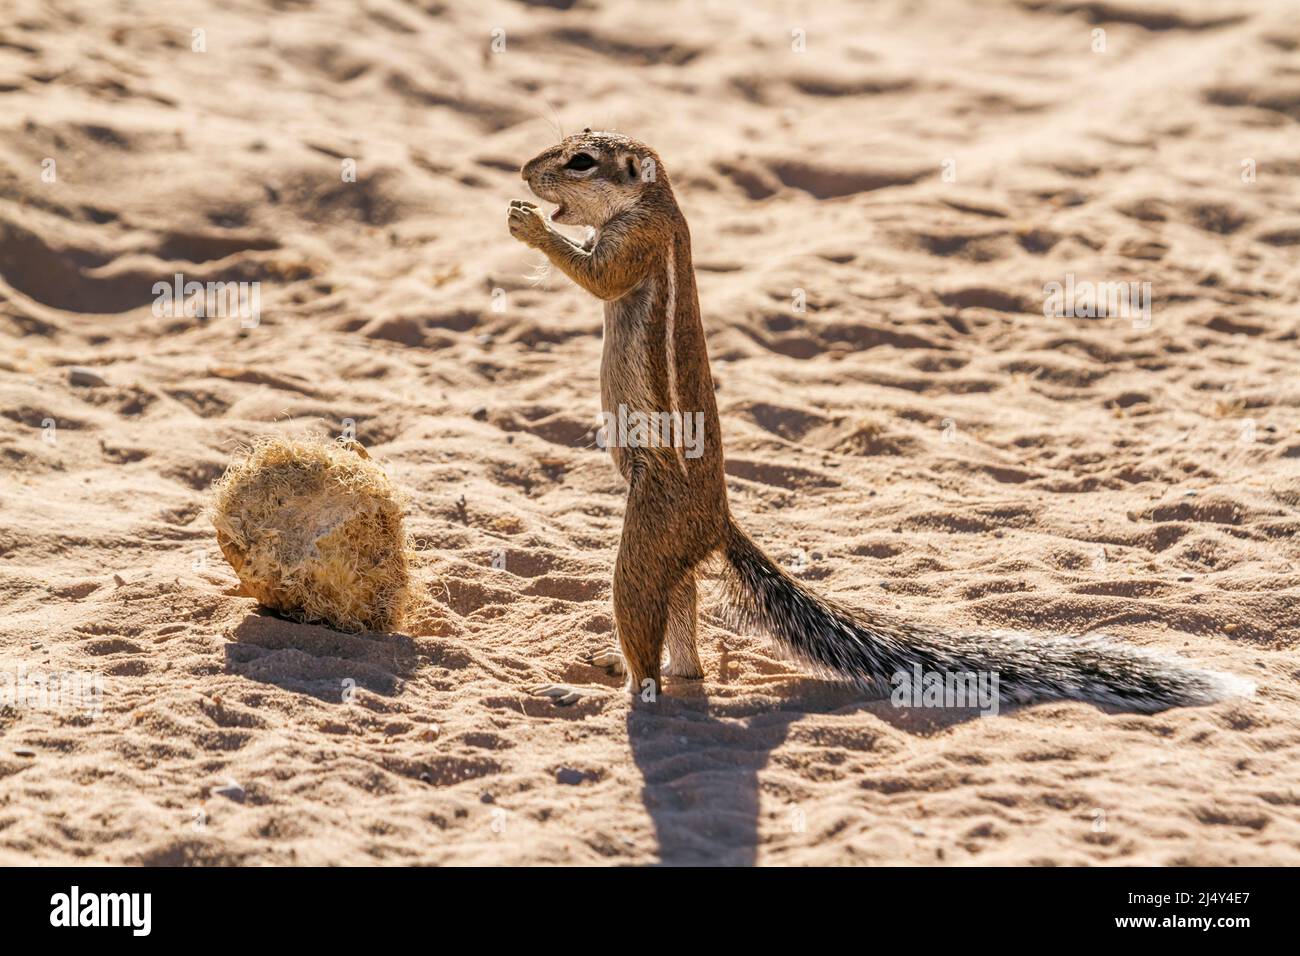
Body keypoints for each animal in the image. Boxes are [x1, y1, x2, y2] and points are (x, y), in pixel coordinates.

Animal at [507, 130, 1253, 713]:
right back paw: (634, 670)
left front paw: (531, 226)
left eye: (581, 161)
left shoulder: (636, 243)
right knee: (685, 641)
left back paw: (598, 691)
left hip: (645, 537)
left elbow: (598, 277)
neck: (656, 202)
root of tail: (718, 518)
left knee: (647, 641)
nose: (522, 170)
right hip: (672, 554)